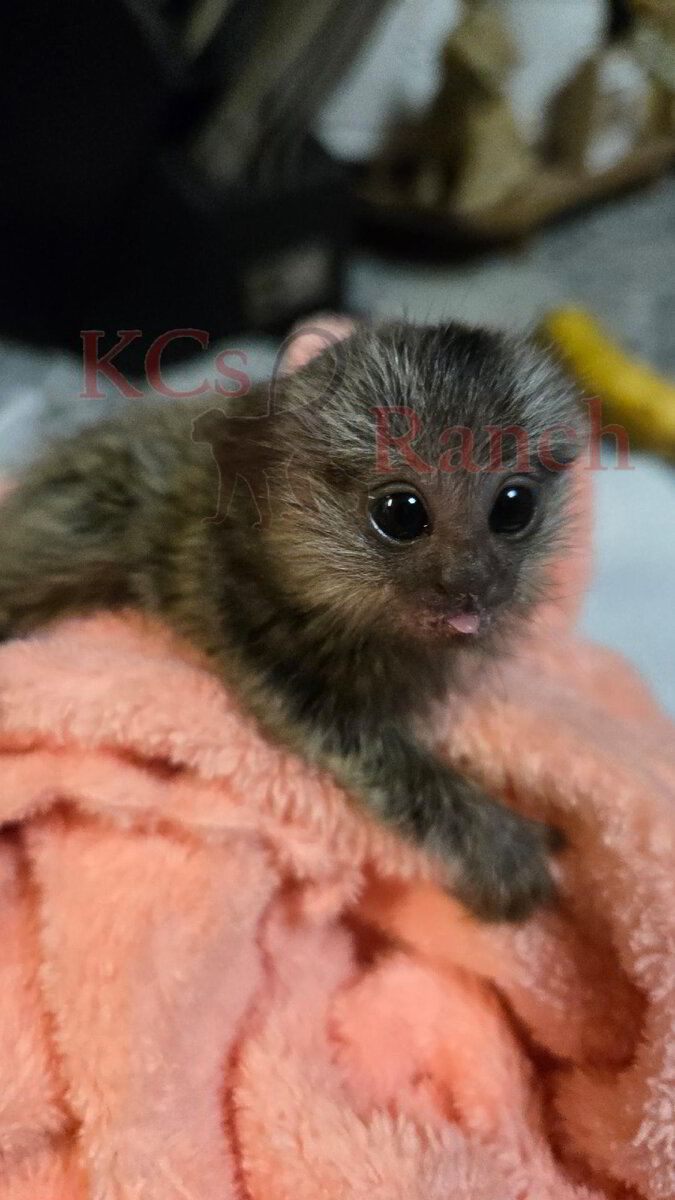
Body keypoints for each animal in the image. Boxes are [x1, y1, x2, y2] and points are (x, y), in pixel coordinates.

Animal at [0, 321, 583, 919]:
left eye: (513, 507)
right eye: (402, 514)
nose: (470, 579)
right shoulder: (240, 602)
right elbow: (348, 737)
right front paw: (498, 843)